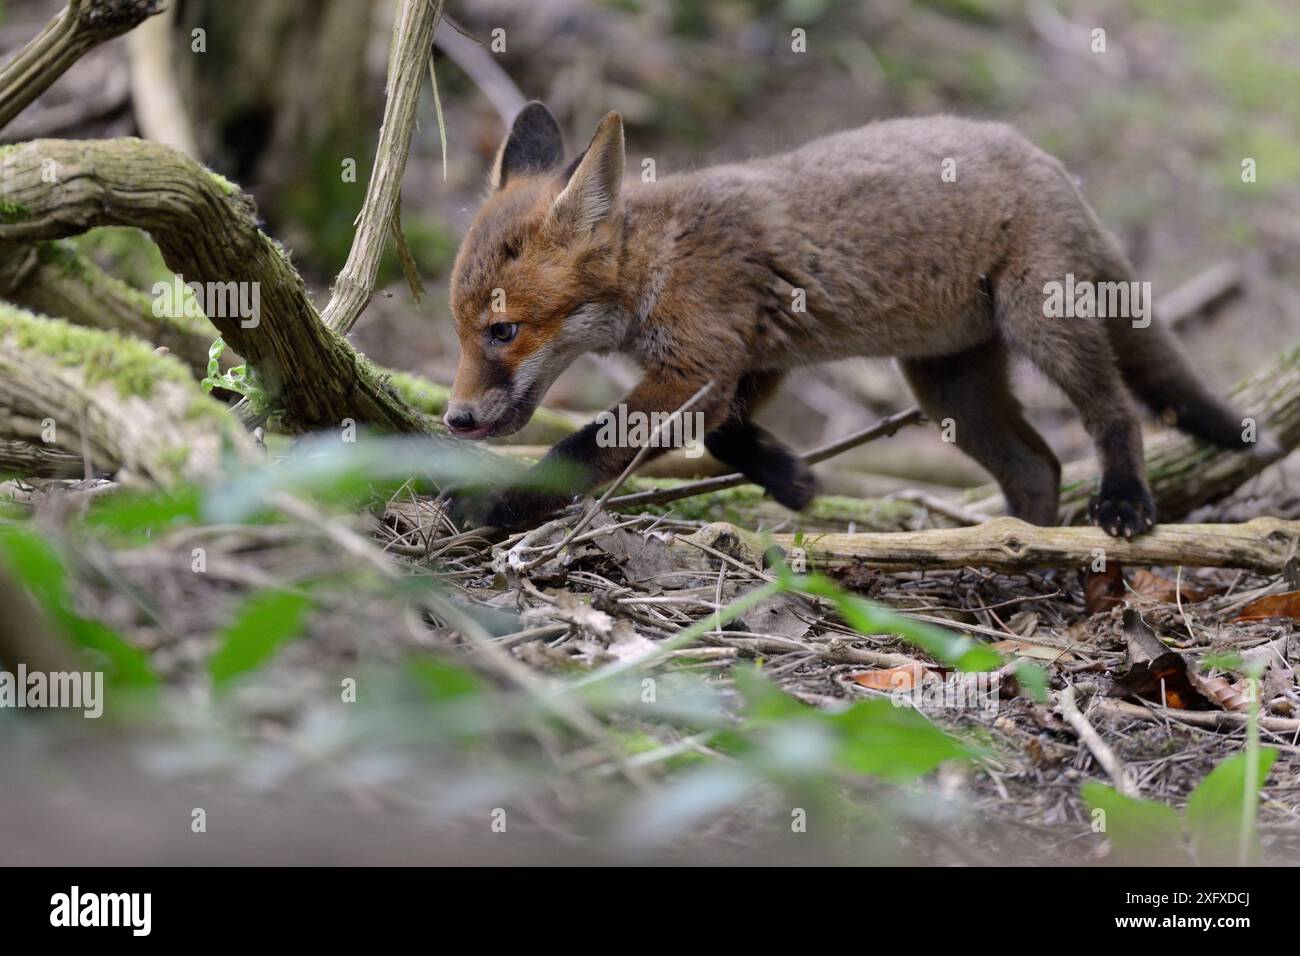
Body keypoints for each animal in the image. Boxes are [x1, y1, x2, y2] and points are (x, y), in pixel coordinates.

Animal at [443, 101, 1266, 535]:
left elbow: (585, 446)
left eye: (503, 331)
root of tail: (1048, 161)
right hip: (948, 386)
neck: (658, 260)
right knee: (1039, 469)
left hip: (1044, 327)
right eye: (460, 330)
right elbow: (726, 435)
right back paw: (1015, 550)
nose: (454, 420)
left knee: (1115, 410)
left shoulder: (700, 362)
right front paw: (790, 479)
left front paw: (493, 503)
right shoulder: (750, 361)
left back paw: (1121, 500)